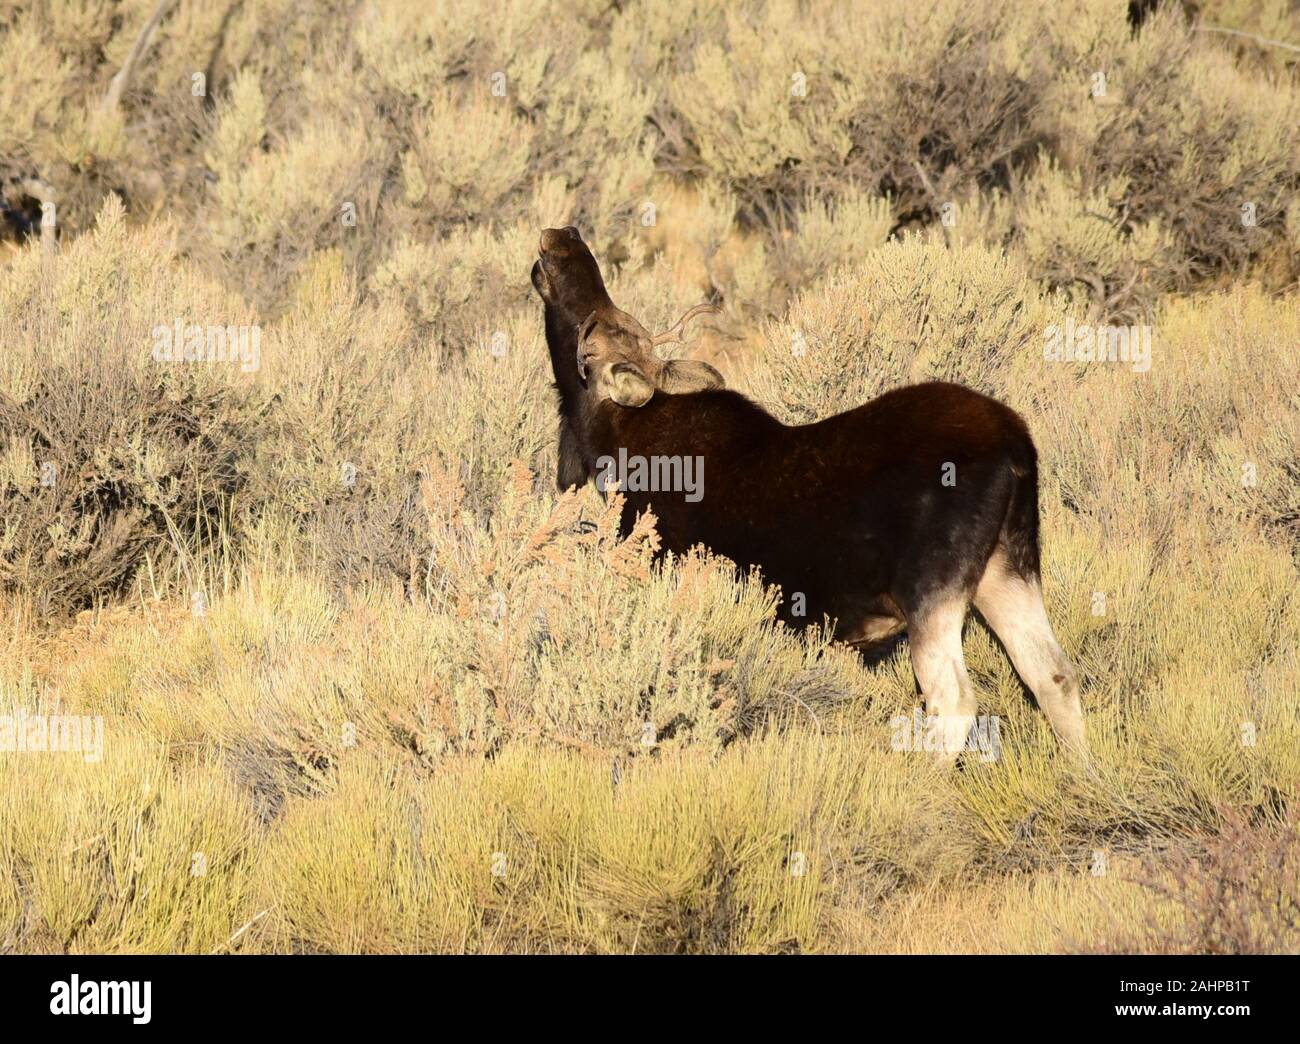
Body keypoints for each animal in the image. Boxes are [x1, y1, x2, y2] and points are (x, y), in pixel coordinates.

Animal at [531, 226, 1086, 759]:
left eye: (587, 341)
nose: (565, 237)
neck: (610, 442)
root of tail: (1017, 448)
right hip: (1009, 568)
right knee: (1055, 673)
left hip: (932, 591)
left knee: (954, 700)